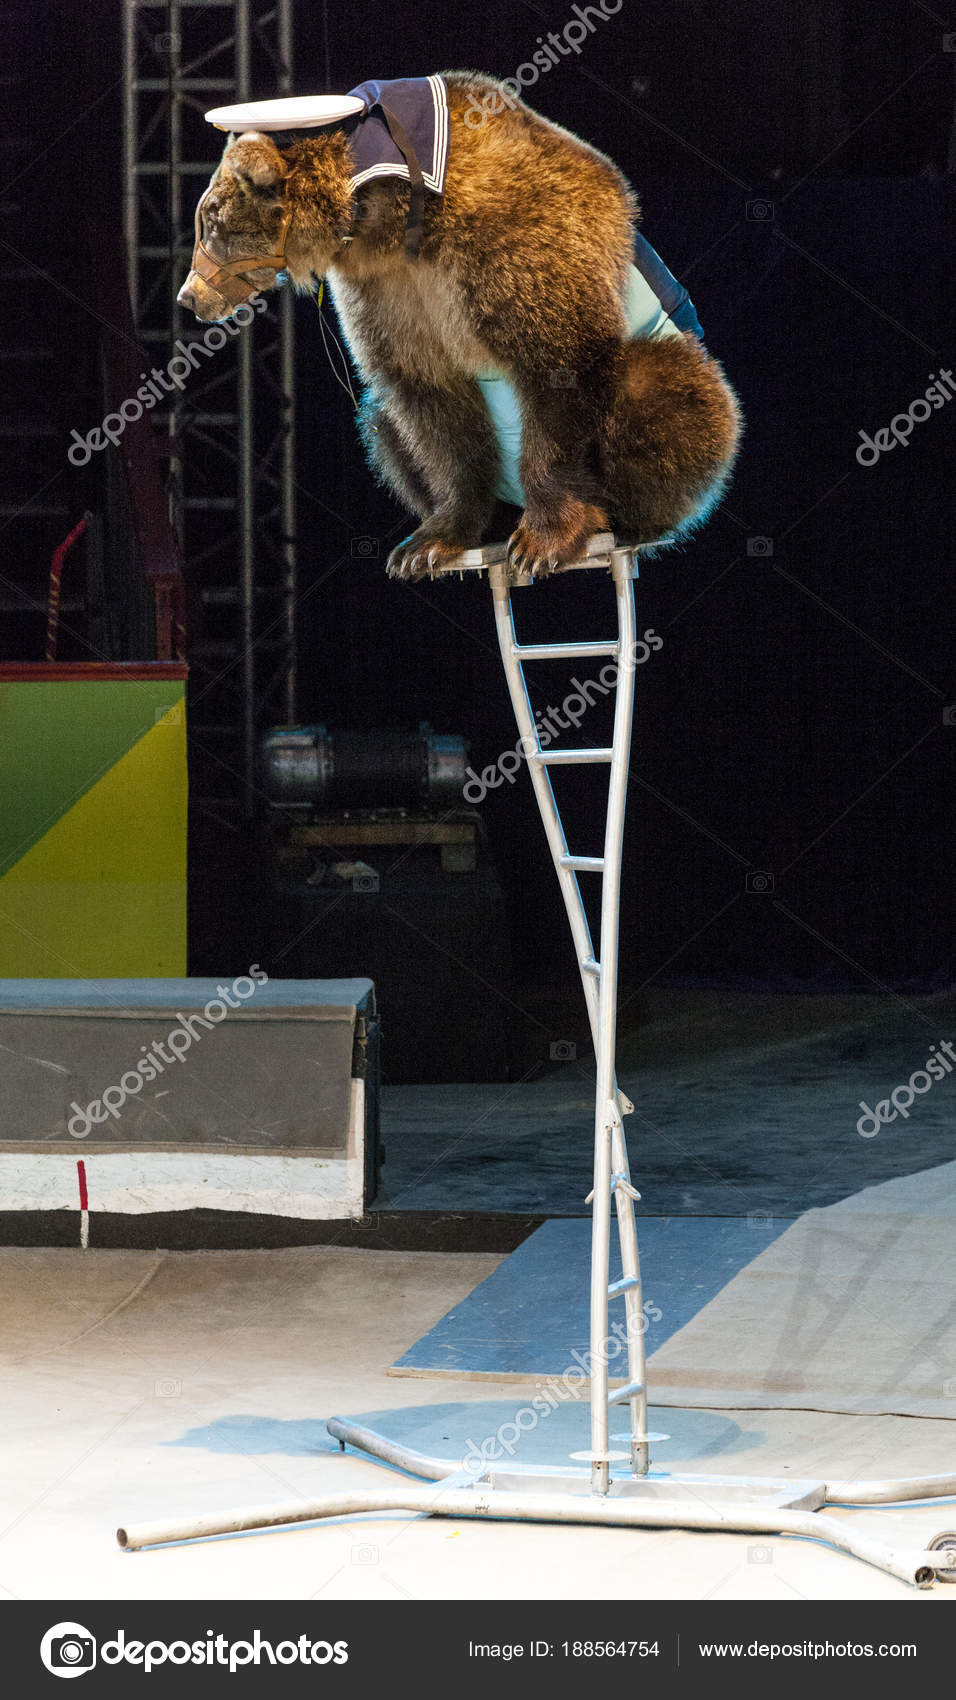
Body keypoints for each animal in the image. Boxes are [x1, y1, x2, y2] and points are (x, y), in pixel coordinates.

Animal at [178, 70, 742, 580]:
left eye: (210, 219)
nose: (188, 297)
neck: (386, 216)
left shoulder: (516, 236)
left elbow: (559, 363)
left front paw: (544, 540)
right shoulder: (389, 291)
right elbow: (430, 404)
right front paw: (429, 544)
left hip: (694, 403)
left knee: (658, 386)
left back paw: (626, 520)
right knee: (382, 420)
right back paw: (496, 523)